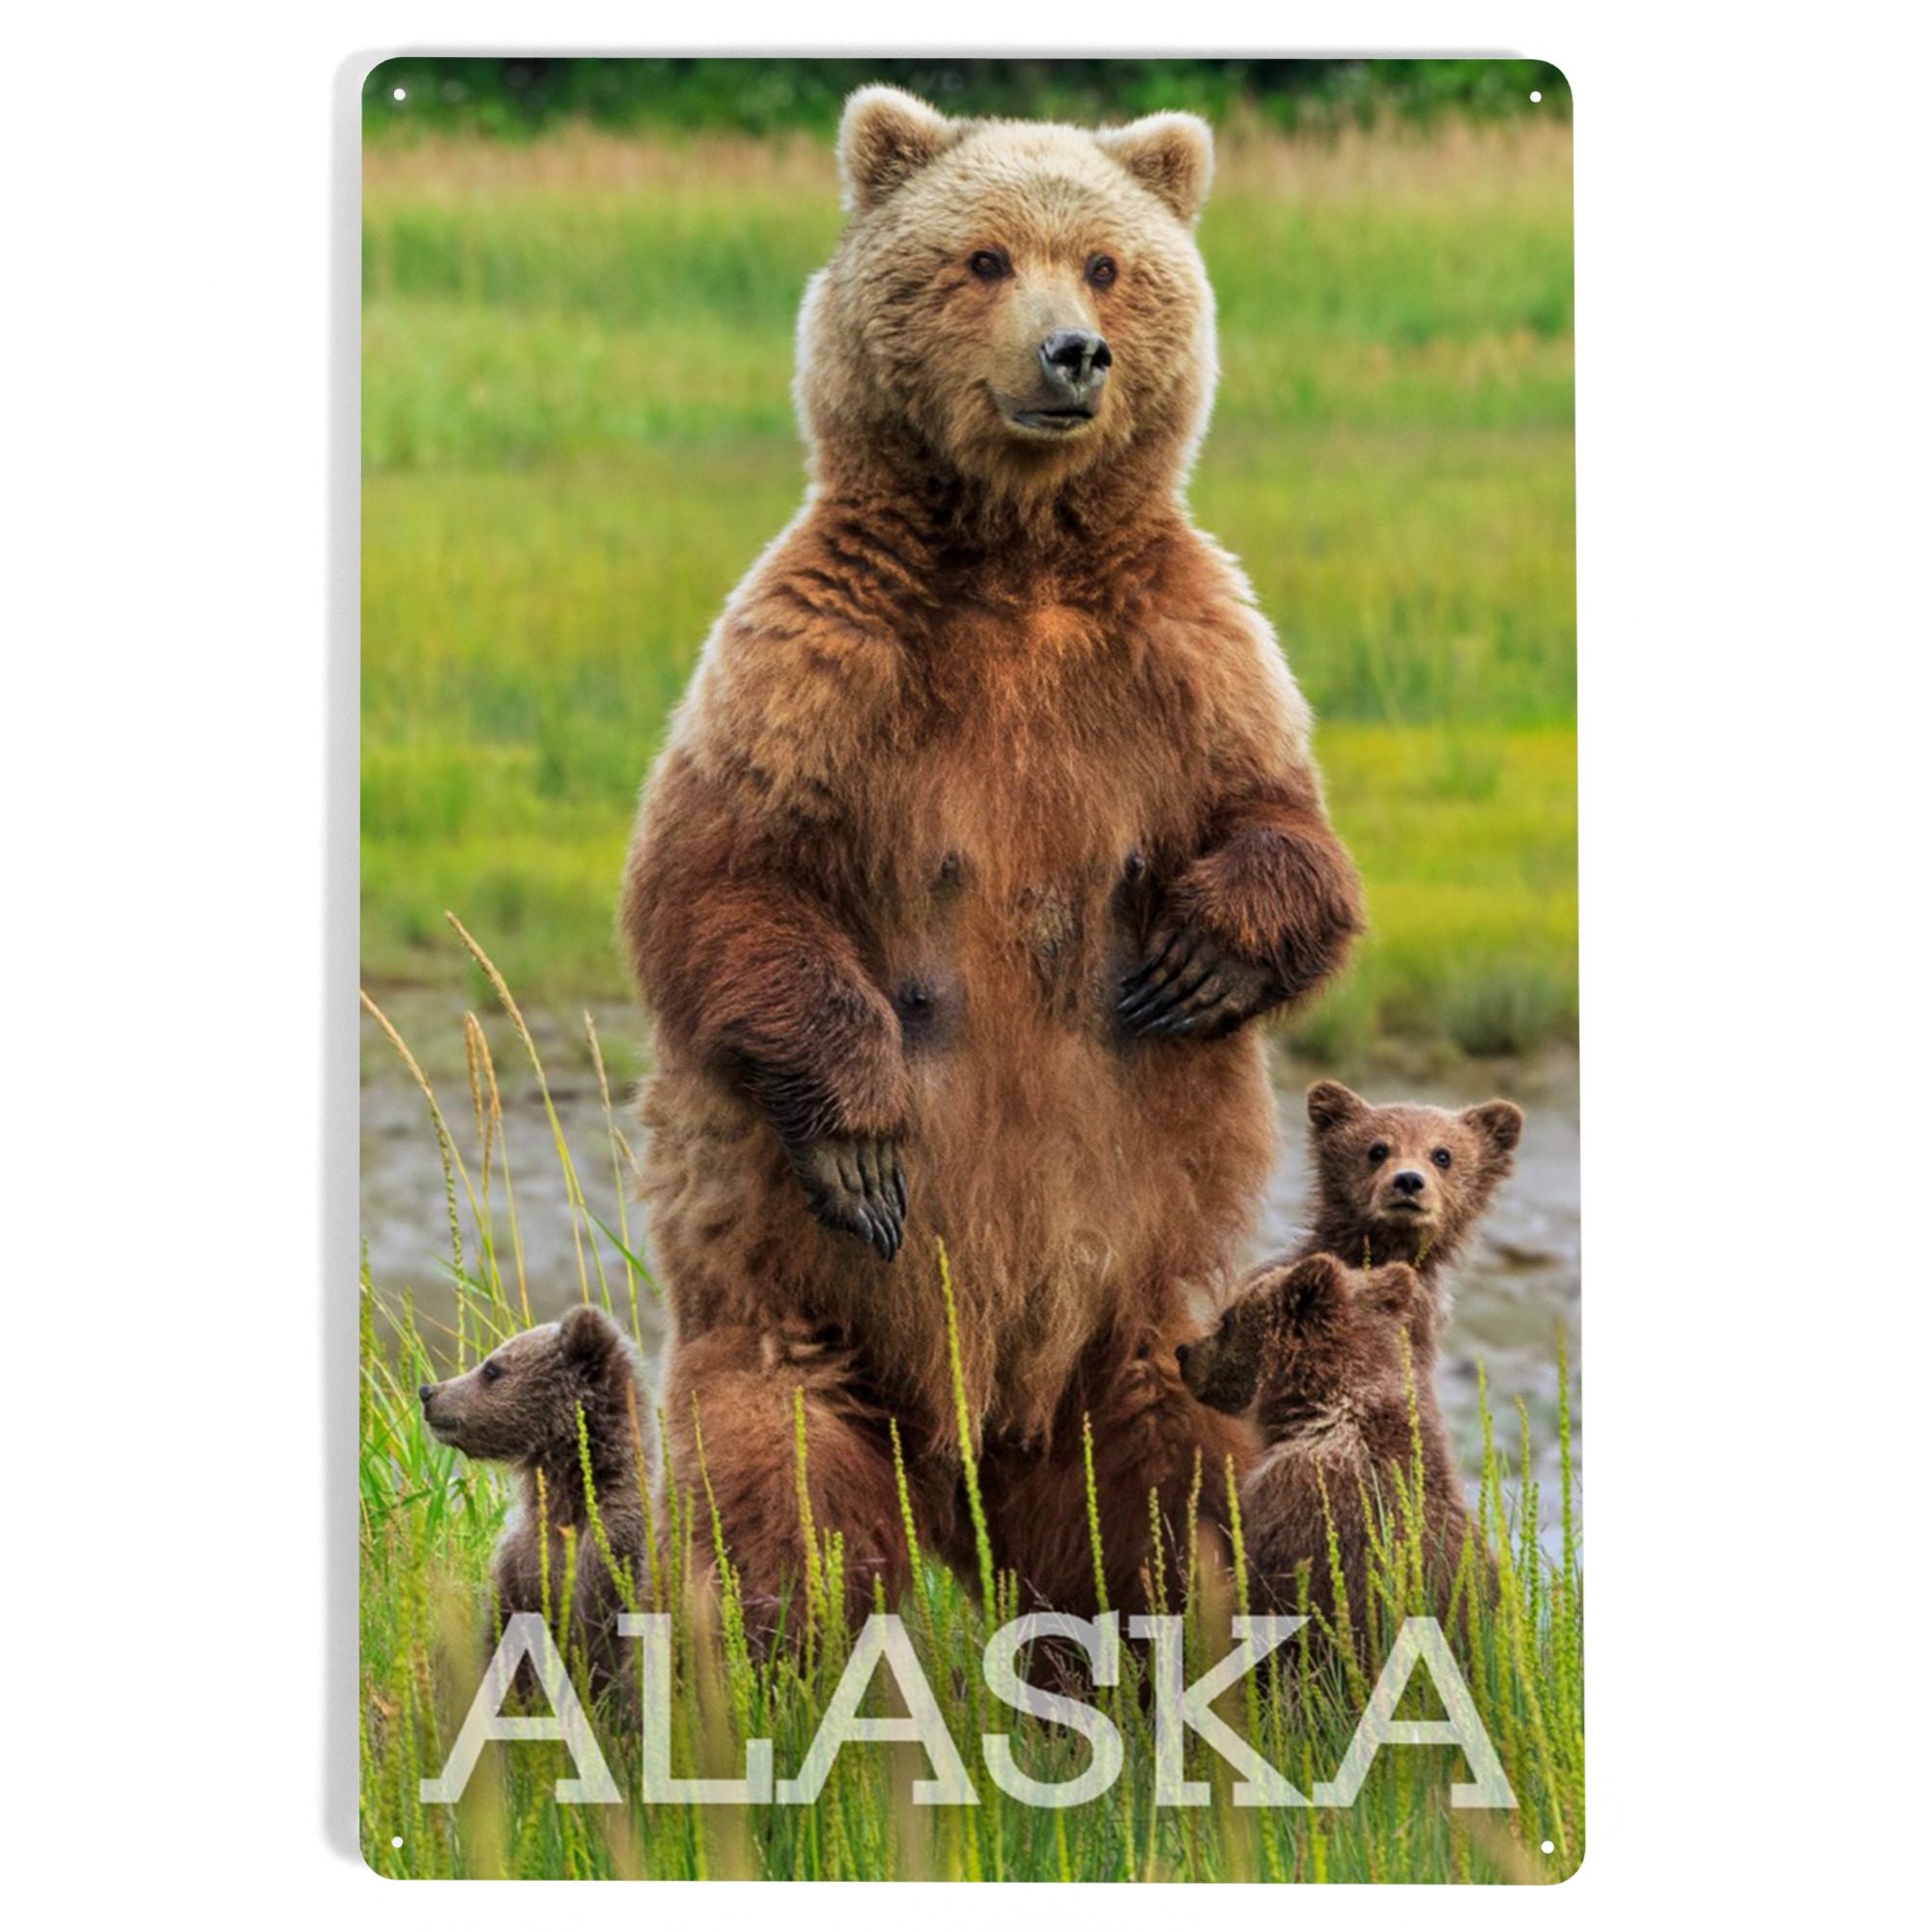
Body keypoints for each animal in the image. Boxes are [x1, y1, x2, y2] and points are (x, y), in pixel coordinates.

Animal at [620, 87, 1363, 1631]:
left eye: (1107, 265)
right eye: (981, 258)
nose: (1071, 354)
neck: (1016, 557)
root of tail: (968, 1451)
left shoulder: (1190, 653)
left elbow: (1285, 826)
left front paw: (1195, 958)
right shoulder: (815, 655)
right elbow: (724, 882)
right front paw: (861, 1134)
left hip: (1140, 1333)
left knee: (1173, 1505)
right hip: (791, 1315)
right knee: (778, 1494)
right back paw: (792, 1653)